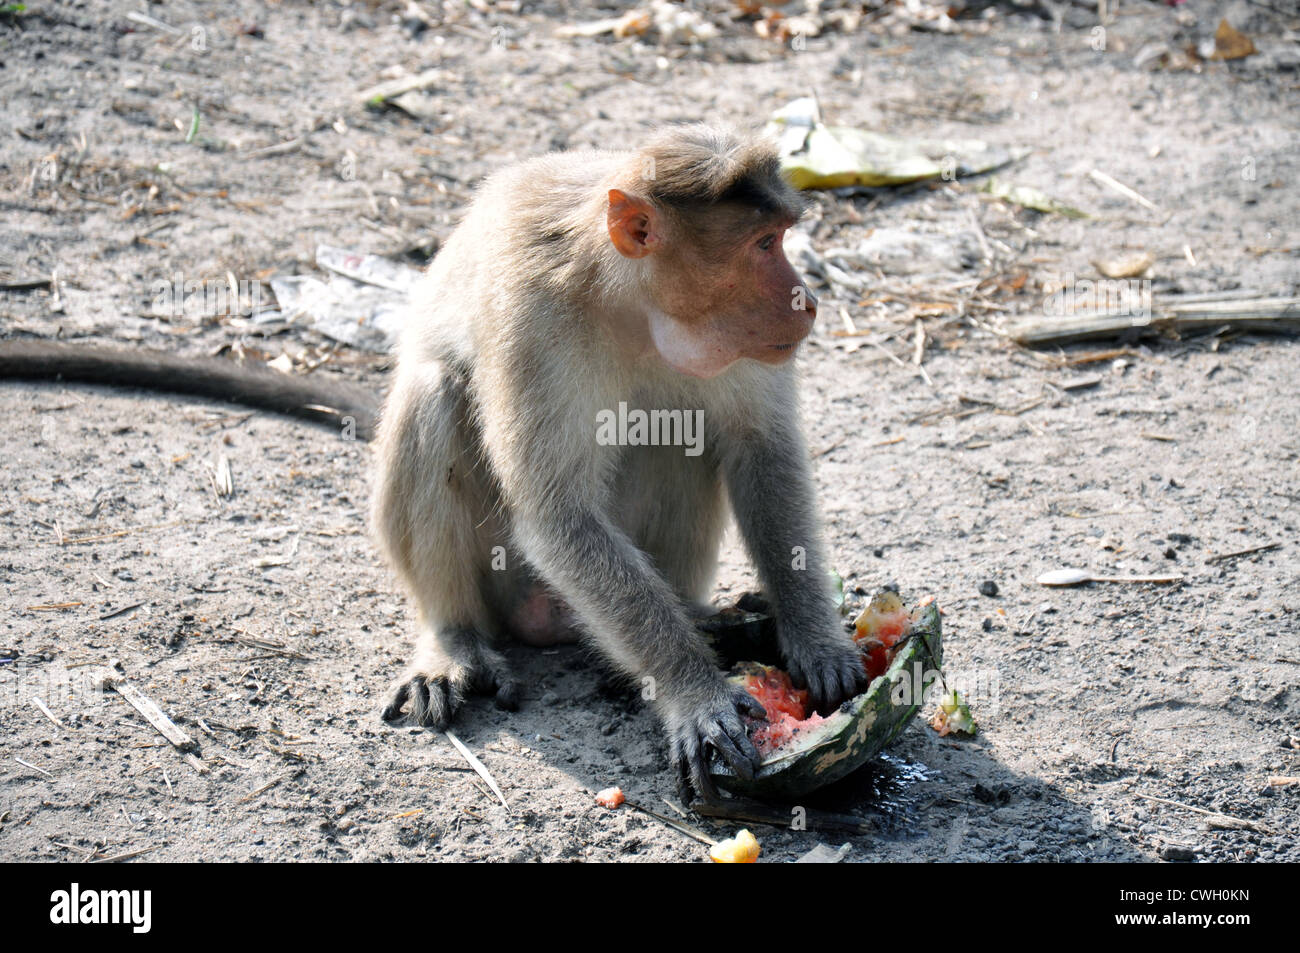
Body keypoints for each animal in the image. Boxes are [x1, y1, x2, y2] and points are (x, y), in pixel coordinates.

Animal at [371, 124, 866, 798]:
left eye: (783, 236)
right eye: (764, 244)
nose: (808, 300)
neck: (629, 303)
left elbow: (763, 451)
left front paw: (816, 639)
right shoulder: (530, 316)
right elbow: (558, 515)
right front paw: (695, 696)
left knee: (680, 429)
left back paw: (705, 620)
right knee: (435, 390)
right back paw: (453, 641)